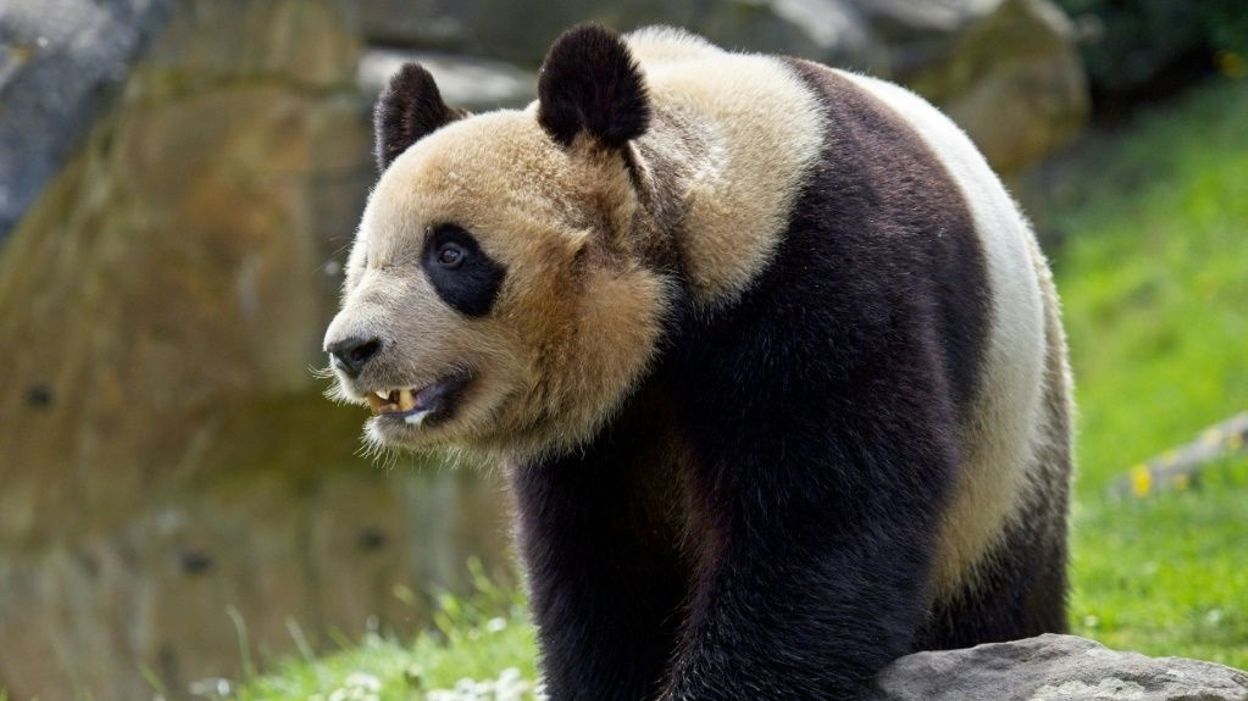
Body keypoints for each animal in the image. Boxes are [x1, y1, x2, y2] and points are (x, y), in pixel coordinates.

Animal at [323, 24, 1073, 701]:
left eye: (451, 253)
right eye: (364, 263)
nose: (351, 348)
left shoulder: (818, 276)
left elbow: (821, 520)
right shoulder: (595, 435)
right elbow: (596, 573)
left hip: (1004, 468)